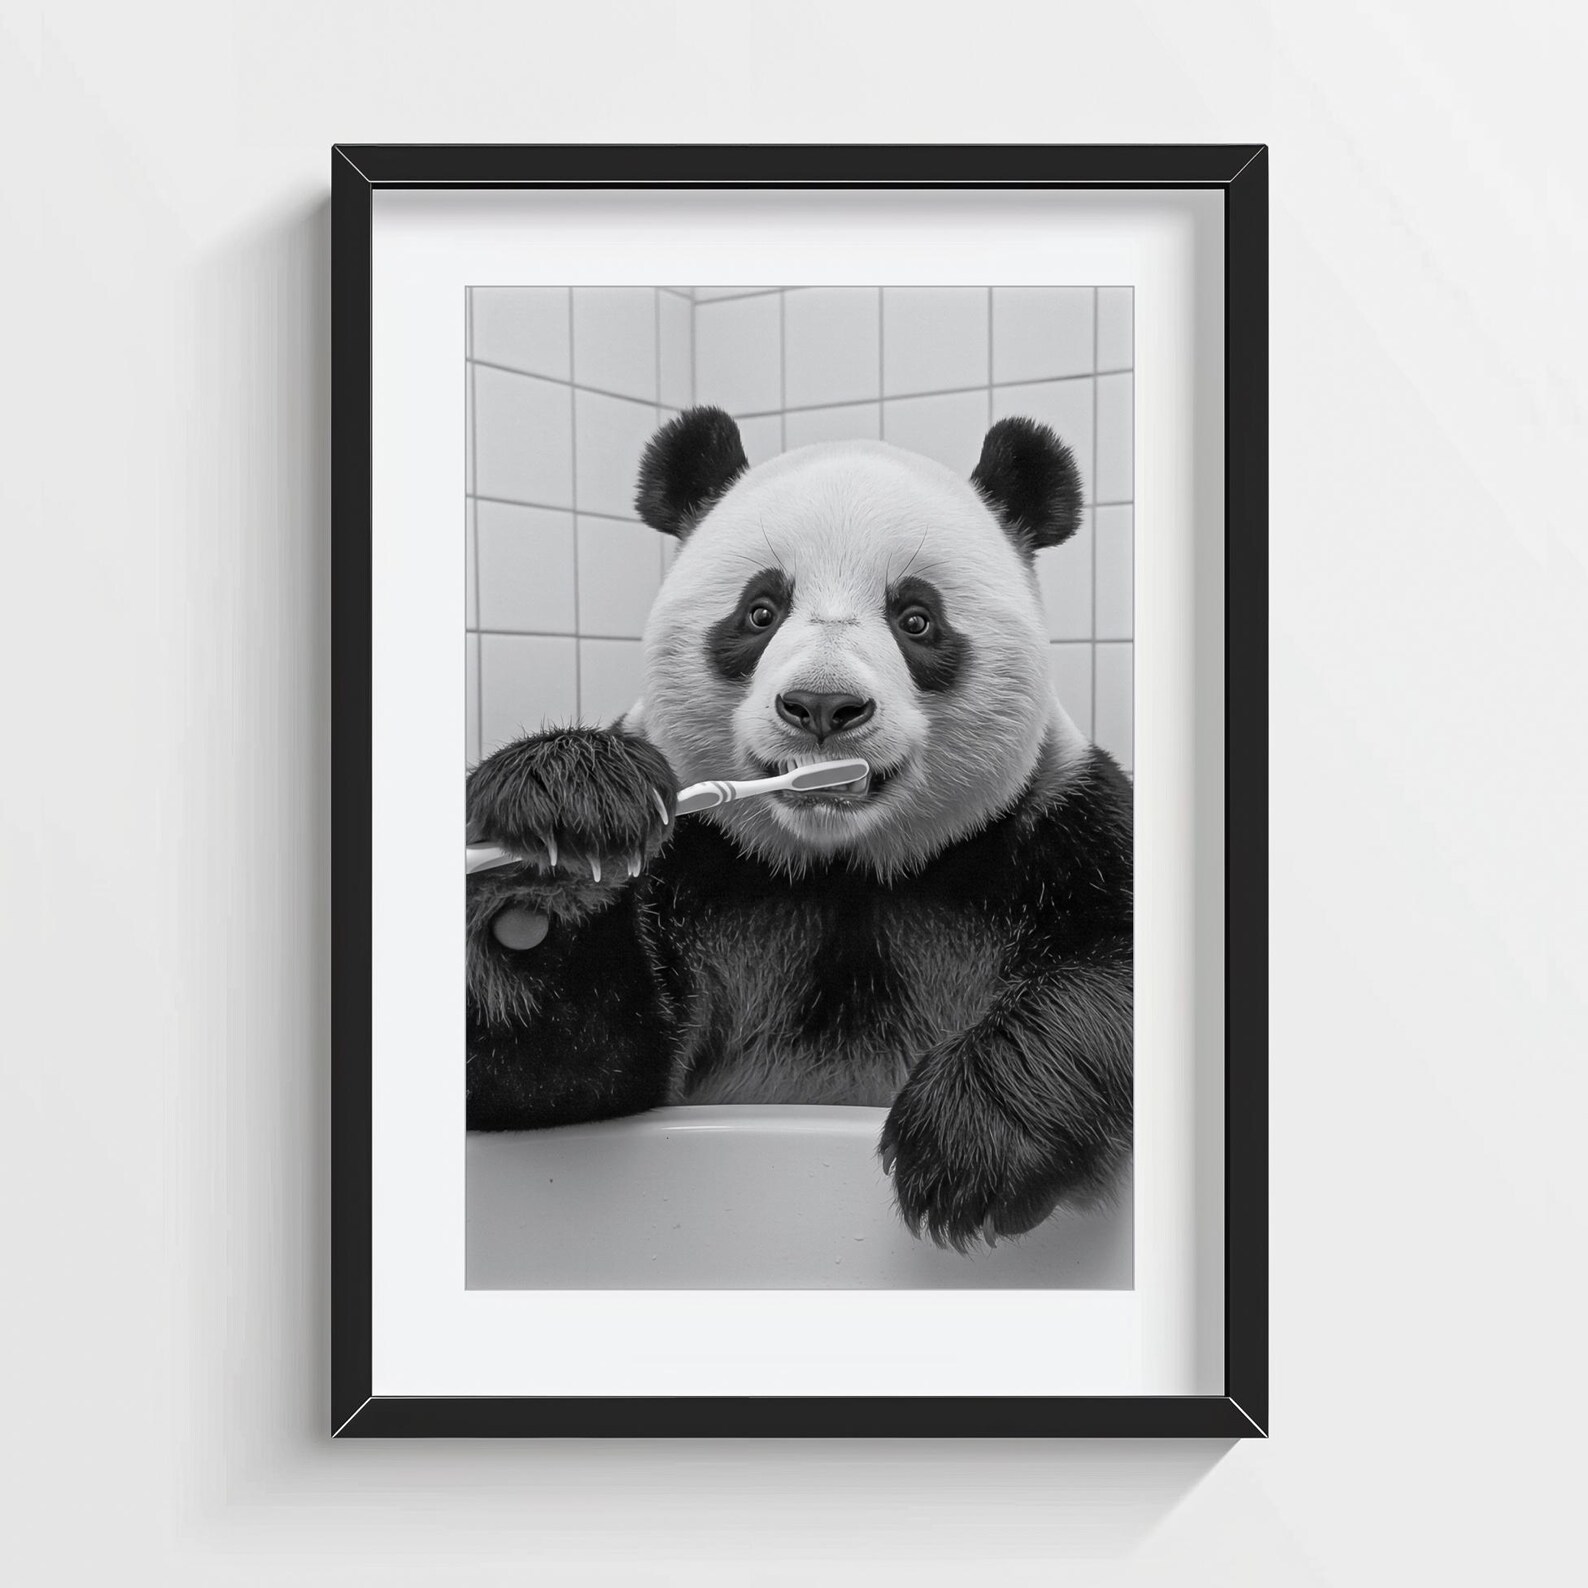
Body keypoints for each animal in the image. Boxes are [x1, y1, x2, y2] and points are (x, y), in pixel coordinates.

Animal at [465, 407, 1132, 1249]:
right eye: (760, 610)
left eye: (916, 618)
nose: (822, 705)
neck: (843, 866)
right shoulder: (705, 874)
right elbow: (566, 1069)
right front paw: (560, 824)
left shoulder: (1047, 825)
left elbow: (1110, 964)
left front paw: (971, 1144)